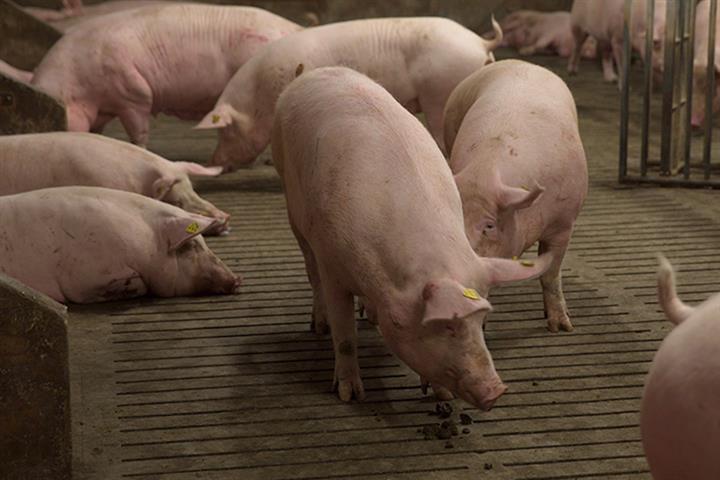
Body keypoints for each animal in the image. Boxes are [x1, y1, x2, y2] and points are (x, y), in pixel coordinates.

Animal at [271, 66, 552, 408]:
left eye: (480, 321)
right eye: (448, 325)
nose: (495, 391)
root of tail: (318, 72)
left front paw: (440, 396)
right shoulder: (332, 266)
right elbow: (345, 335)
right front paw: (351, 395)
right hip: (292, 204)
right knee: (311, 272)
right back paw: (320, 327)